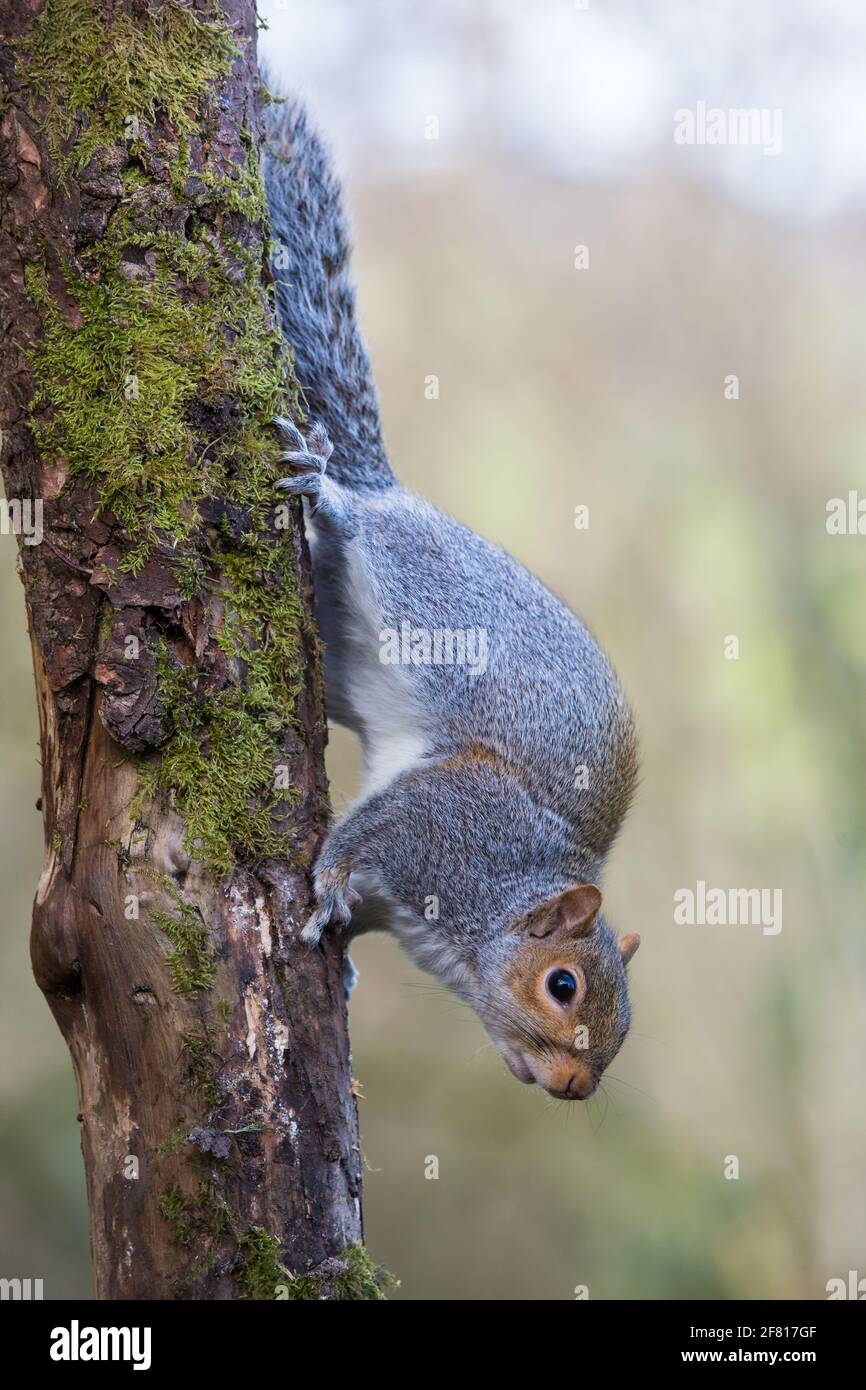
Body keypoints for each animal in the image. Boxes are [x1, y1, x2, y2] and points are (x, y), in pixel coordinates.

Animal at [263, 101, 641, 1102]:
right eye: (561, 985)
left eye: (628, 1023)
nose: (576, 1089)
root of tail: (396, 493)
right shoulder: (440, 820)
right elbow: (356, 840)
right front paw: (325, 888)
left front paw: (346, 962)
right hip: (417, 584)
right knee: (364, 527)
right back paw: (331, 494)